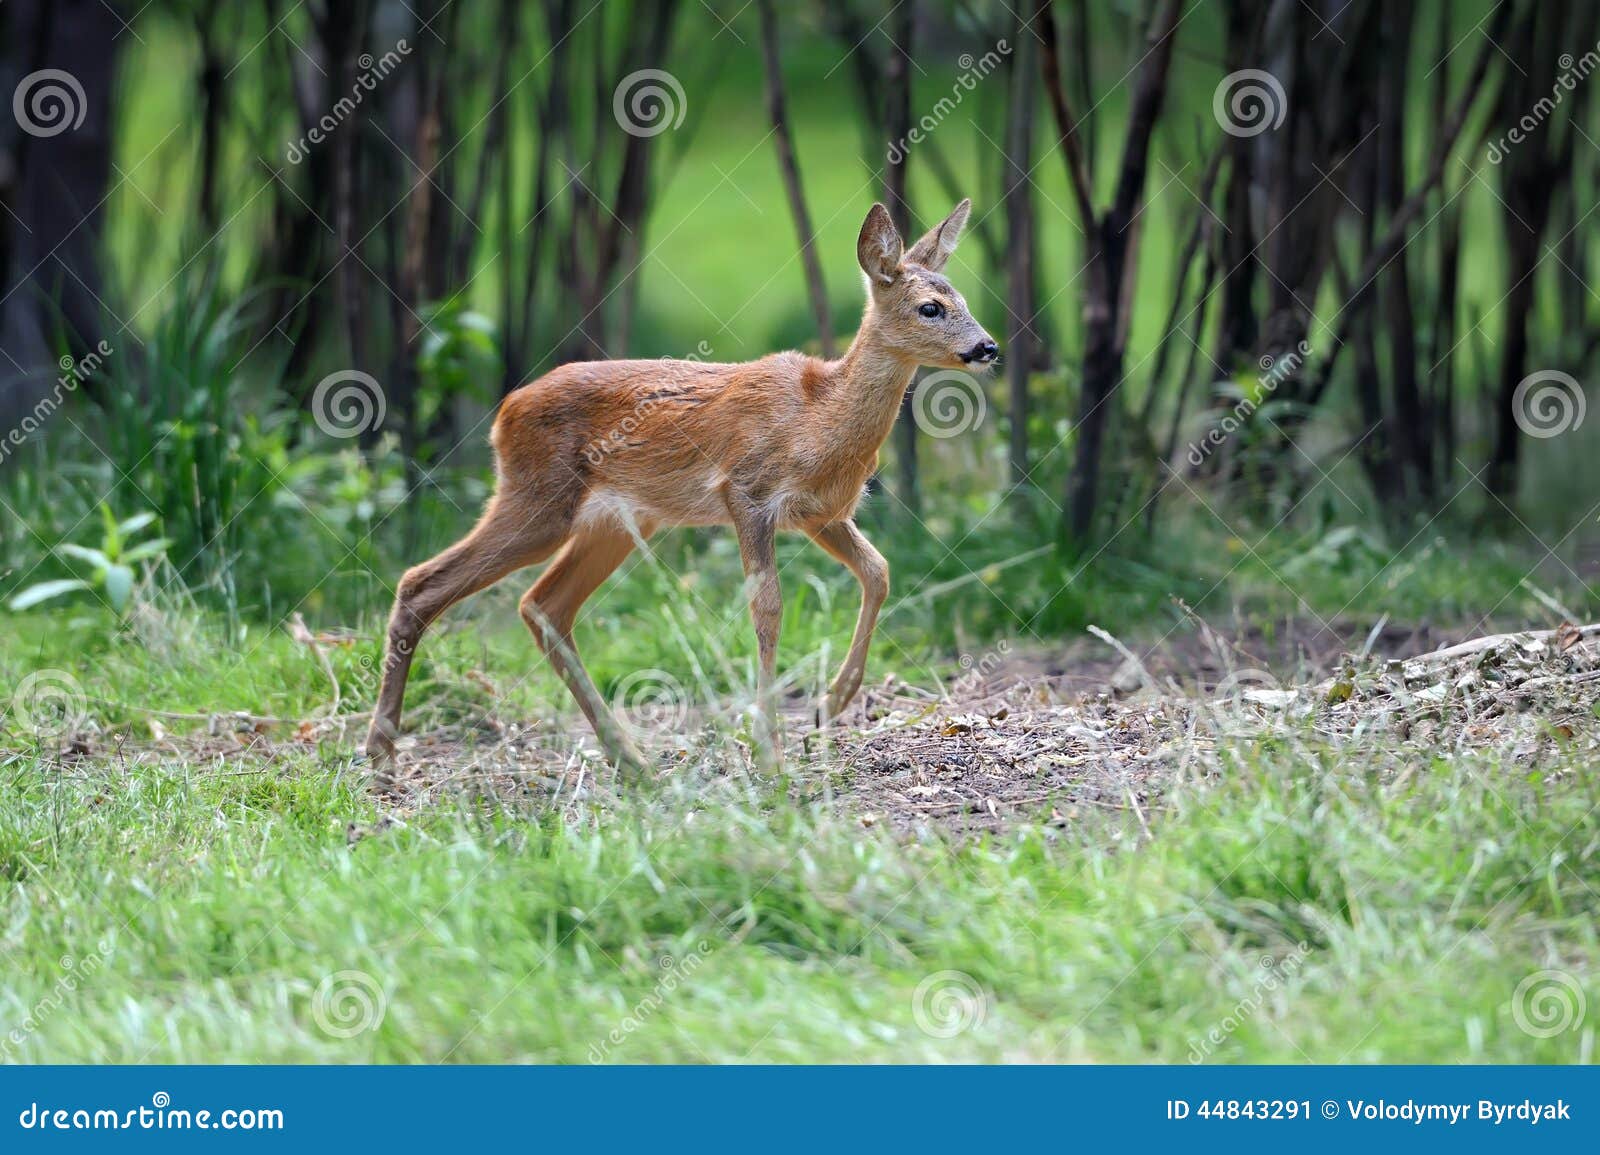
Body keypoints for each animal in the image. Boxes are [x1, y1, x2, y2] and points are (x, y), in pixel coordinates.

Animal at [364, 198, 998, 773]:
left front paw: (829, 704)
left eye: (965, 300)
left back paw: (631, 760)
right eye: (930, 307)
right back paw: (380, 754)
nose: (988, 347)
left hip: (614, 523)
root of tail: (503, 413)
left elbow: (879, 572)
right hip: (537, 500)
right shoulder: (746, 492)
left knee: (542, 605)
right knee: (423, 583)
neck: (820, 419)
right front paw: (770, 752)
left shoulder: (822, 514)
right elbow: (768, 605)